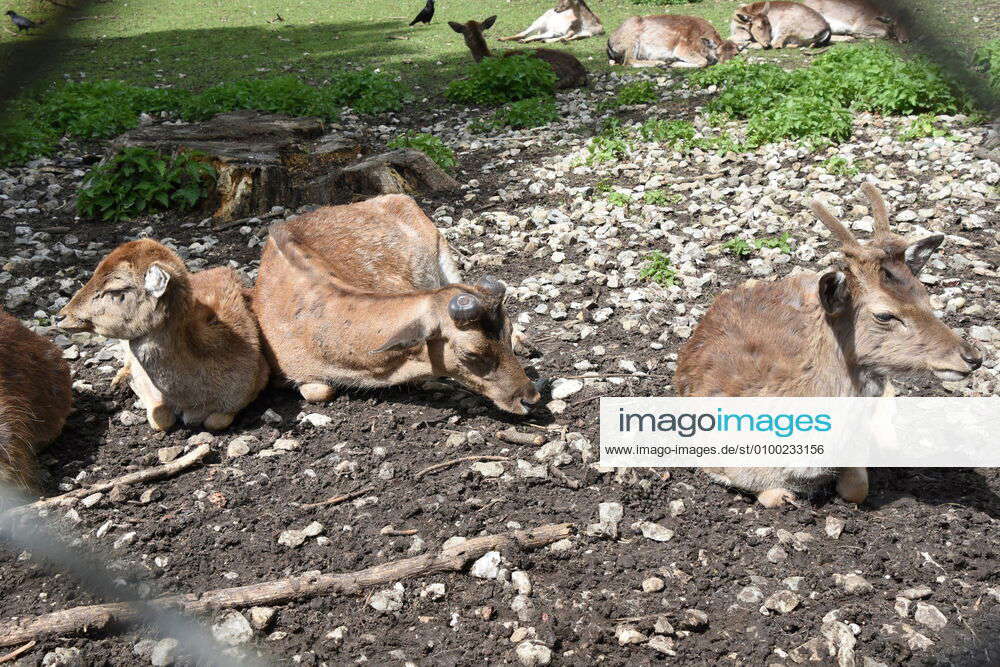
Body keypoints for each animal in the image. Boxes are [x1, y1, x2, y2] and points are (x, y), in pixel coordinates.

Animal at [58, 240, 269, 432]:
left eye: (116, 290)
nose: (61, 315)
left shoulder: (260, 377)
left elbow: (216, 421)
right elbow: (161, 418)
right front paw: (131, 383)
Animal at [608, 15, 742, 68]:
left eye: (736, 54)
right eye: (718, 53)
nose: (729, 64)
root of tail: (610, 42)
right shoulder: (682, 48)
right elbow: (703, 62)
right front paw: (675, 64)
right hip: (631, 41)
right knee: (628, 61)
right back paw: (661, 63)